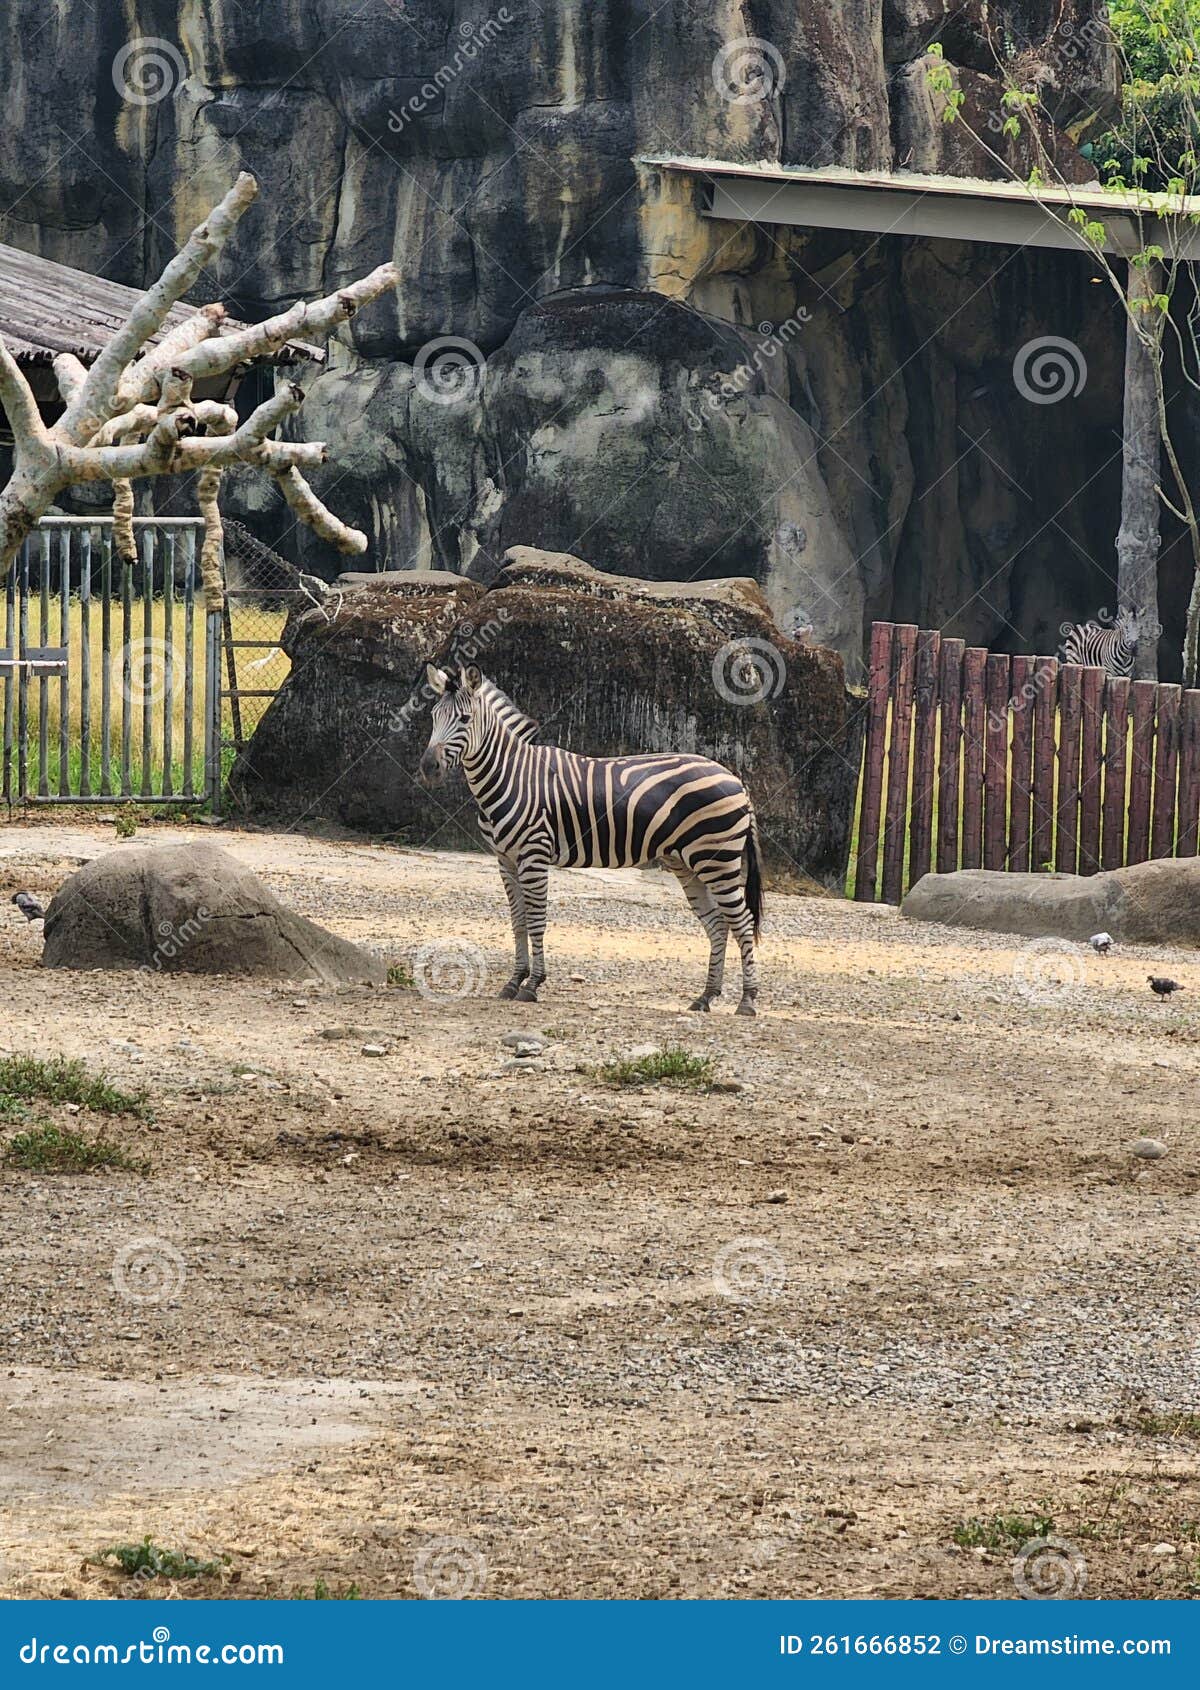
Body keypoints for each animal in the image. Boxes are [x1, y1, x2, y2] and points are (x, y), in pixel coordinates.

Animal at [417, 664, 763, 1015]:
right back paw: (706, 996)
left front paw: (532, 984)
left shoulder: (534, 855)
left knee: (743, 921)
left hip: (717, 860)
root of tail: (736, 780)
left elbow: (536, 919)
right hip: (687, 862)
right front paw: (513, 982)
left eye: (464, 719)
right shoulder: (506, 860)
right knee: (718, 923)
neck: (511, 776)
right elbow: (518, 921)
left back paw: (747, 1000)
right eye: (433, 716)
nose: (428, 767)